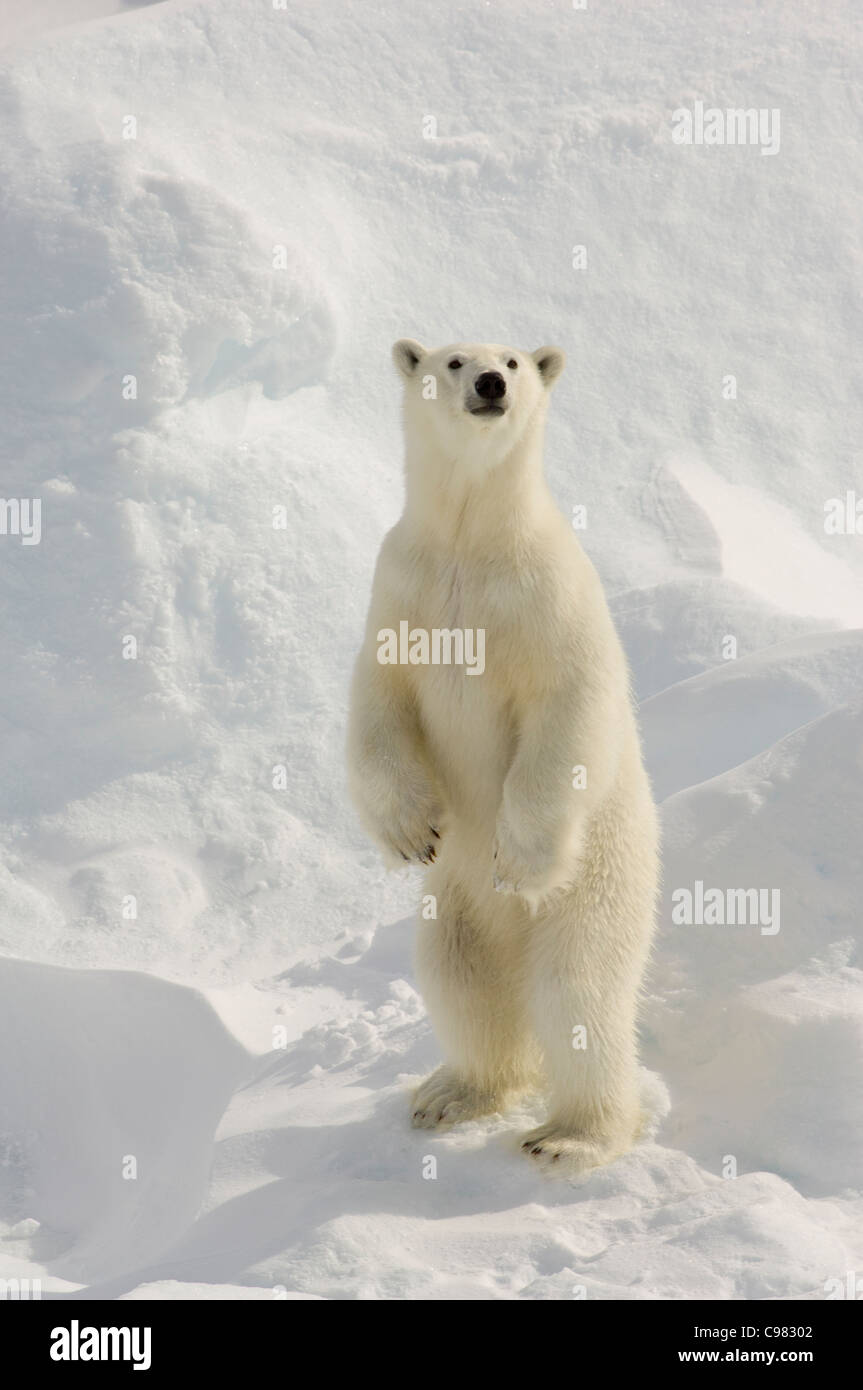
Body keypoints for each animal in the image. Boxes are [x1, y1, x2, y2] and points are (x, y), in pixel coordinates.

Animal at [346, 339, 660, 1171]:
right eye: (453, 360)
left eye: (515, 361)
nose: (490, 383)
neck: (469, 543)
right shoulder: (403, 587)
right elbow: (378, 704)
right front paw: (409, 830)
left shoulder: (547, 593)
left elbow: (569, 706)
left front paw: (516, 859)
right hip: (453, 906)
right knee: (460, 980)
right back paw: (451, 1093)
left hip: (601, 883)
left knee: (577, 994)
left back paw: (571, 1136)